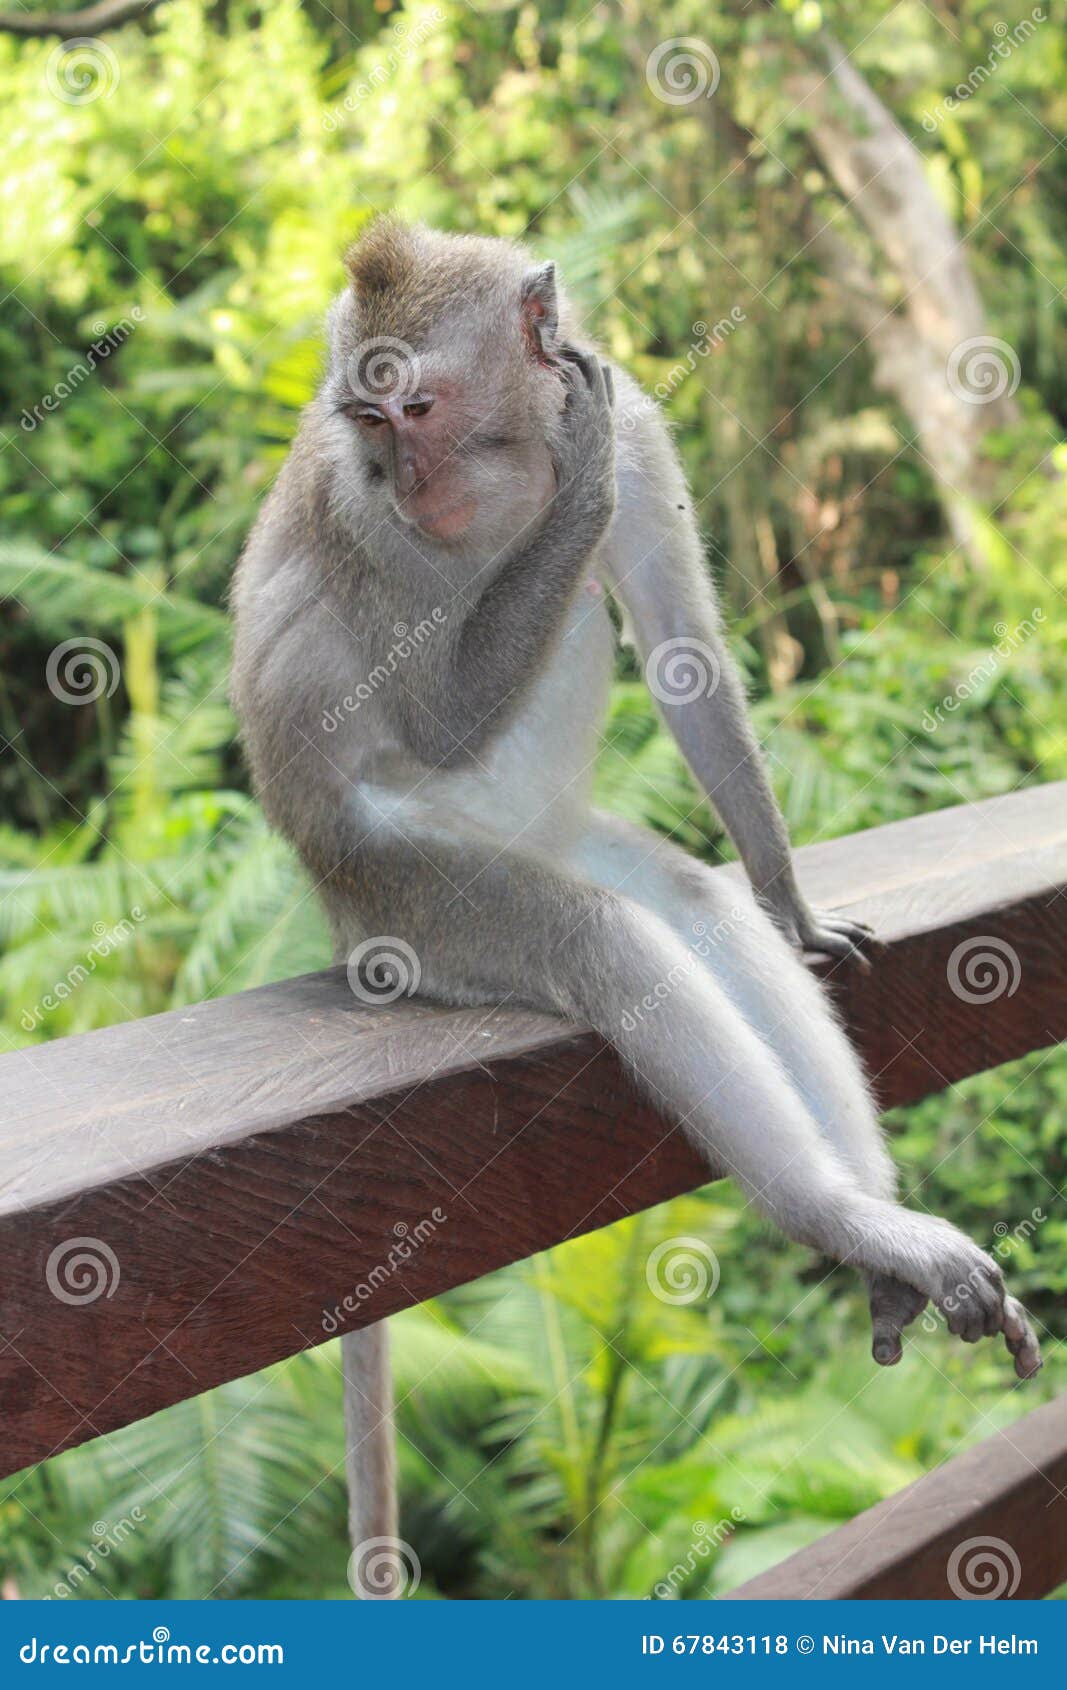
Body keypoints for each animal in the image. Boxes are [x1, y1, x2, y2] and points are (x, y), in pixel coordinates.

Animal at [230, 219, 1042, 1582]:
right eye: (366, 419)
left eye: (415, 407)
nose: (399, 476)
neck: (500, 467)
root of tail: (334, 910)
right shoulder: (358, 519)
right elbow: (432, 715)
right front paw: (580, 479)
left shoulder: (649, 431)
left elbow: (682, 650)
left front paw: (790, 897)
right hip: (415, 900)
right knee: (597, 936)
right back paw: (843, 1217)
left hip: (547, 836)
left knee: (689, 908)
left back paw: (863, 1219)